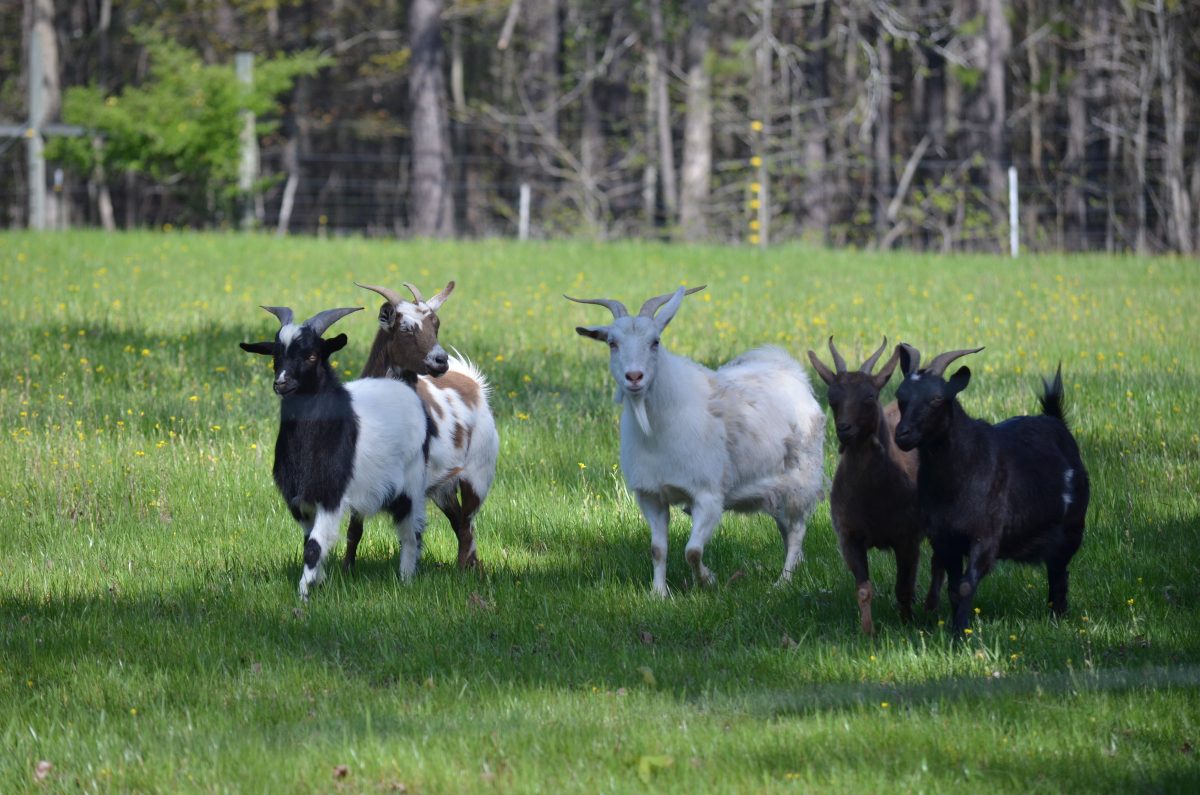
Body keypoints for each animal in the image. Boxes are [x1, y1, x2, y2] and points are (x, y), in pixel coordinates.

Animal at [240, 305, 429, 599]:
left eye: (312, 355)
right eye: (275, 356)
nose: (281, 383)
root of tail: (403, 388)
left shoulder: (330, 495)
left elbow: (314, 546)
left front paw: (303, 596)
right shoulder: (300, 503)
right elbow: (309, 542)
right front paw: (319, 582)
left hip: (411, 484)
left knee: (412, 532)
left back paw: (406, 579)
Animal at [343, 280, 499, 571]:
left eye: (436, 324)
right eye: (405, 328)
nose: (440, 360)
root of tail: (473, 383)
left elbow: (412, 533)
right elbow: (354, 531)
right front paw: (346, 570)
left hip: (477, 474)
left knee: (467, 526)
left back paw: (464, 571)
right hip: (442, 488)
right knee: (460, 523)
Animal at [567, 286, 826, 596]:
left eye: (655, 342)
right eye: (611, 343)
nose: (634, 377)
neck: (657, 432)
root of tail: (792, 372)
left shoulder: (708, 496)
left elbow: (692, 551)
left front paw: (707, 580)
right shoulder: (651, 495)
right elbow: (657, 549)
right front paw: (658, 594)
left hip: (801, 482)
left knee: (797, 530)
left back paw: (783, 581)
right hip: (777, 489)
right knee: (786, 529)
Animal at [808, 337, 942, 634]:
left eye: (870, 396)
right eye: (831, 397)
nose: (844, 429)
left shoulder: (907, 537)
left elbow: (903, 587)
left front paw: (908, 623)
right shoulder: (849, 536)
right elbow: (863, 589)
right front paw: (867, 631)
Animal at [894, 345, 1089, 633]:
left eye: (937, 398)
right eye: (900, 396)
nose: (902, 434)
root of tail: (1056, 421)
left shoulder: (986, 535)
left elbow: (966, 586)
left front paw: (959, 634)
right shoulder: (944, 539)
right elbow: (954, 588)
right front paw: (955, 628)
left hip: (1072, 528)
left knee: (1058, 571)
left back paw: (1058, 617)